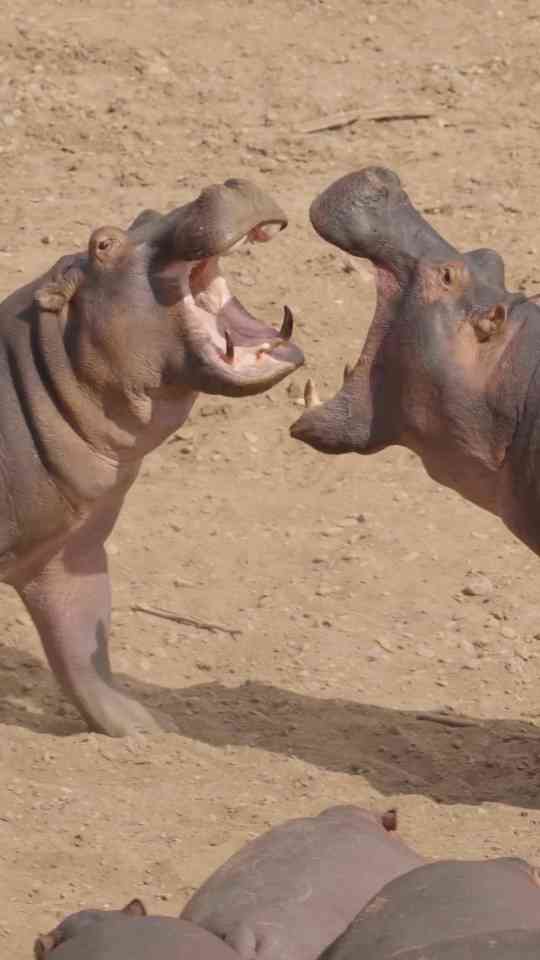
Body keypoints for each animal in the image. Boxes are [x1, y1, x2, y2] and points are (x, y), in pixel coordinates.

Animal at [0, 178, 303, 736]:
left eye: (146, 212)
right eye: (103, 244)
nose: (226, 182)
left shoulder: (68, 551)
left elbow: (84, 648)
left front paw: (147, 728)